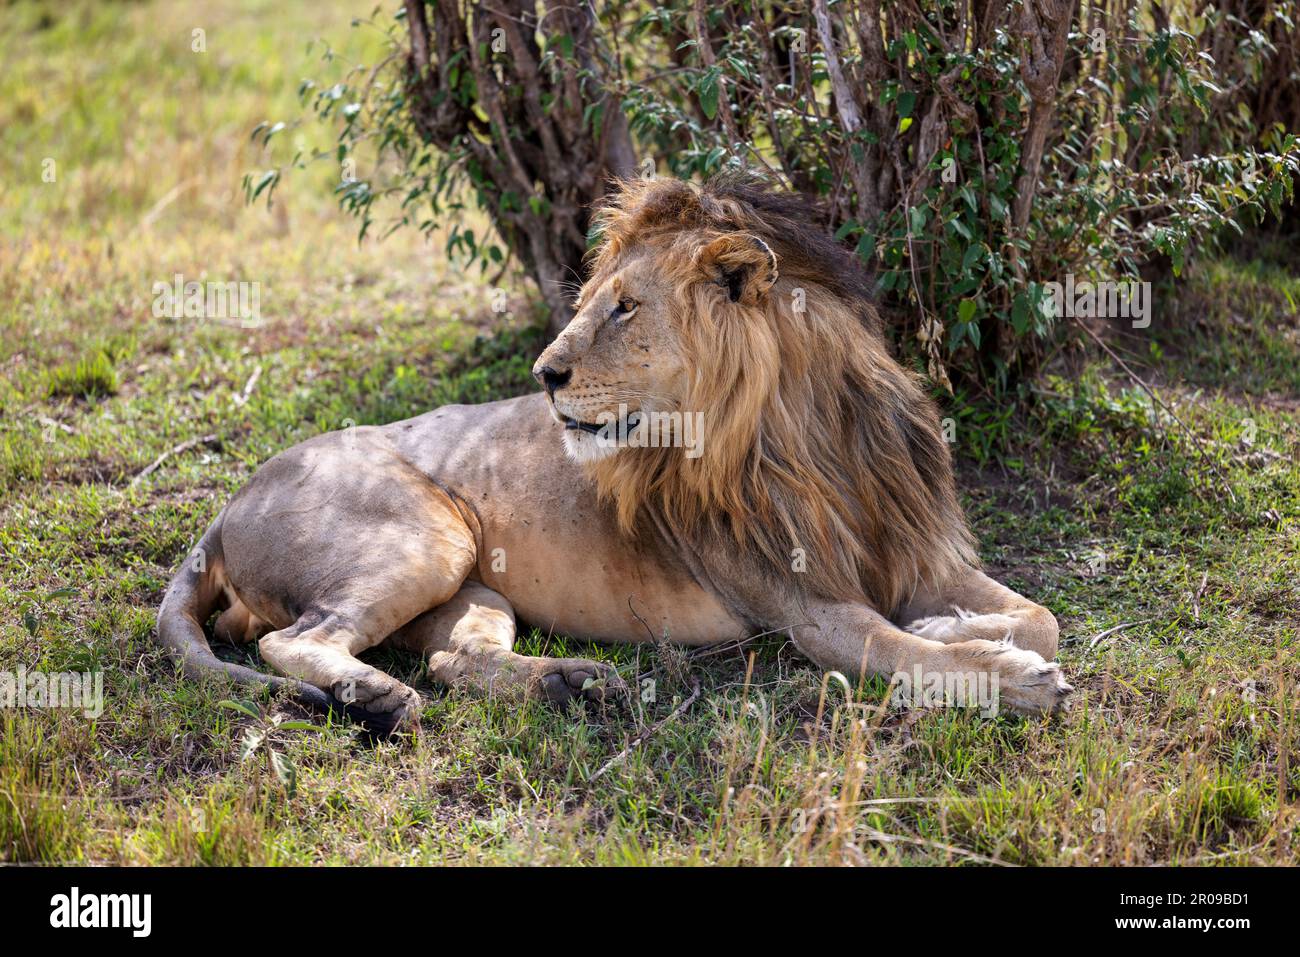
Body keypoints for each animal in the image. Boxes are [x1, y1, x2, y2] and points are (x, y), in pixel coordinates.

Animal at [156, 176, 1071, 733]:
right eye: (589, 303)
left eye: (625, 309)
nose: (544, 373)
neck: (806, 435)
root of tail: (224, 509)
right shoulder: (806, 608)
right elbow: (904, 651)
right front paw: (1014, 678)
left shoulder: (912, 553)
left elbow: (1042, 616)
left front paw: (968, 624)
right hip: (426, 537)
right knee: (293, 642)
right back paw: (377, 695)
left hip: (471, 583)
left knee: (459, 655)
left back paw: (575, 684)